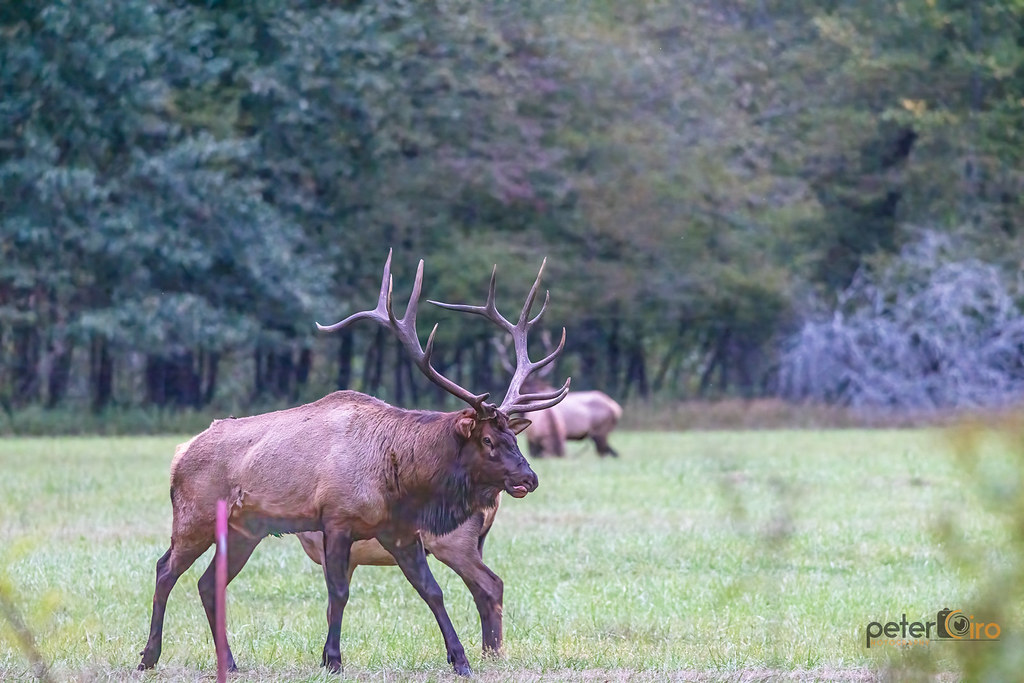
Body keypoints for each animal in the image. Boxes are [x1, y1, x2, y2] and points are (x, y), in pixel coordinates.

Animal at [137, 251, 569, 677]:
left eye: (514, 437)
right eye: (488, 440)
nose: (529, 478)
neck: (397, 479)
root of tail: (180, 453)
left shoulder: (399, 531)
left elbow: (431, 590)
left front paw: (460, 659)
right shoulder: (337, 519)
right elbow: (339, 592)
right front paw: (332, 659)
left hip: (247, 530)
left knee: (208, 583)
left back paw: (228, 660)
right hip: (195, 517)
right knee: (165, 569)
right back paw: (148, 656)